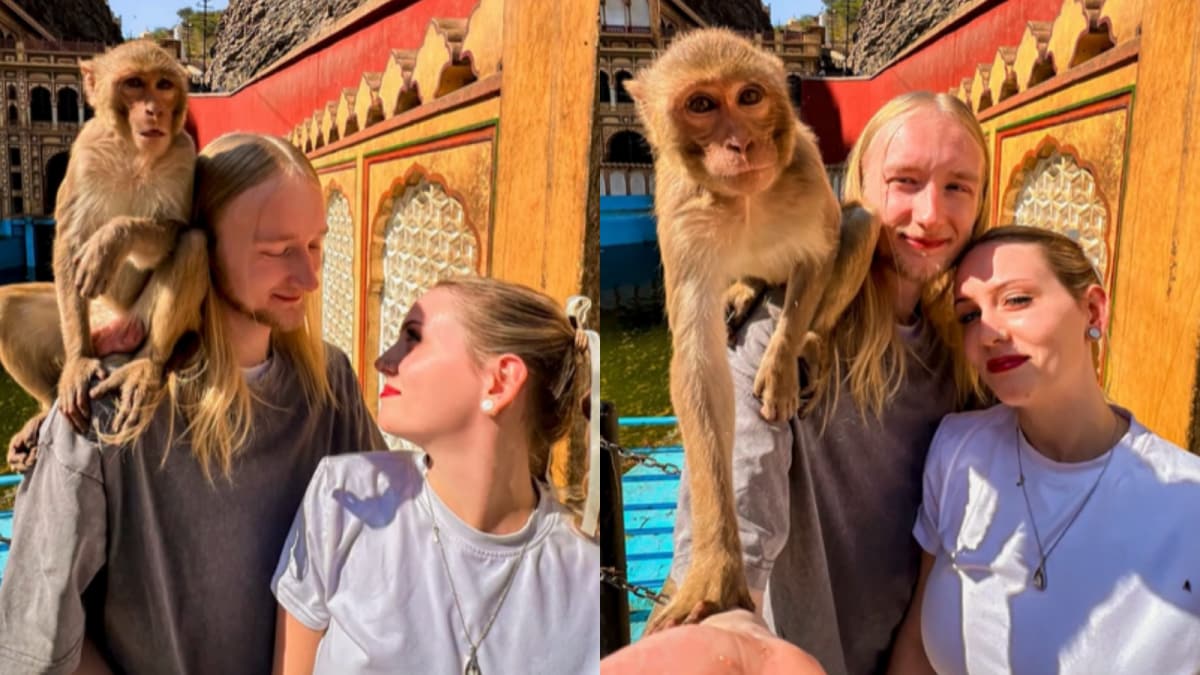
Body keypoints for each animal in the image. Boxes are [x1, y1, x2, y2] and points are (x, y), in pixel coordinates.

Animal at [0, 40, 207, 471]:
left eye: (163, 85)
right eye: (134, 84)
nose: (153, 110)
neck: (134, 153)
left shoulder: (183, 152)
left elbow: (176, 228)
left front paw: (112, 240)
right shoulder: (83, 152)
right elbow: (67, 242)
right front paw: (78, 363)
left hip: (136, 320)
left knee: (194, 244)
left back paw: (146, 366)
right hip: (78, 324)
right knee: (7, 304)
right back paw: (46, 405)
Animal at [626, 28, 879, 630]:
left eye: (748, 97)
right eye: (701, 104)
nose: (739, 143)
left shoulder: (808, 172)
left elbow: (819, 253)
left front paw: (784, 362)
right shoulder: (680, 209)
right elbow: (698, 362)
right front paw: (716, 567)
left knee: (860, 224)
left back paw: (810, 342)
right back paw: (744, 289)